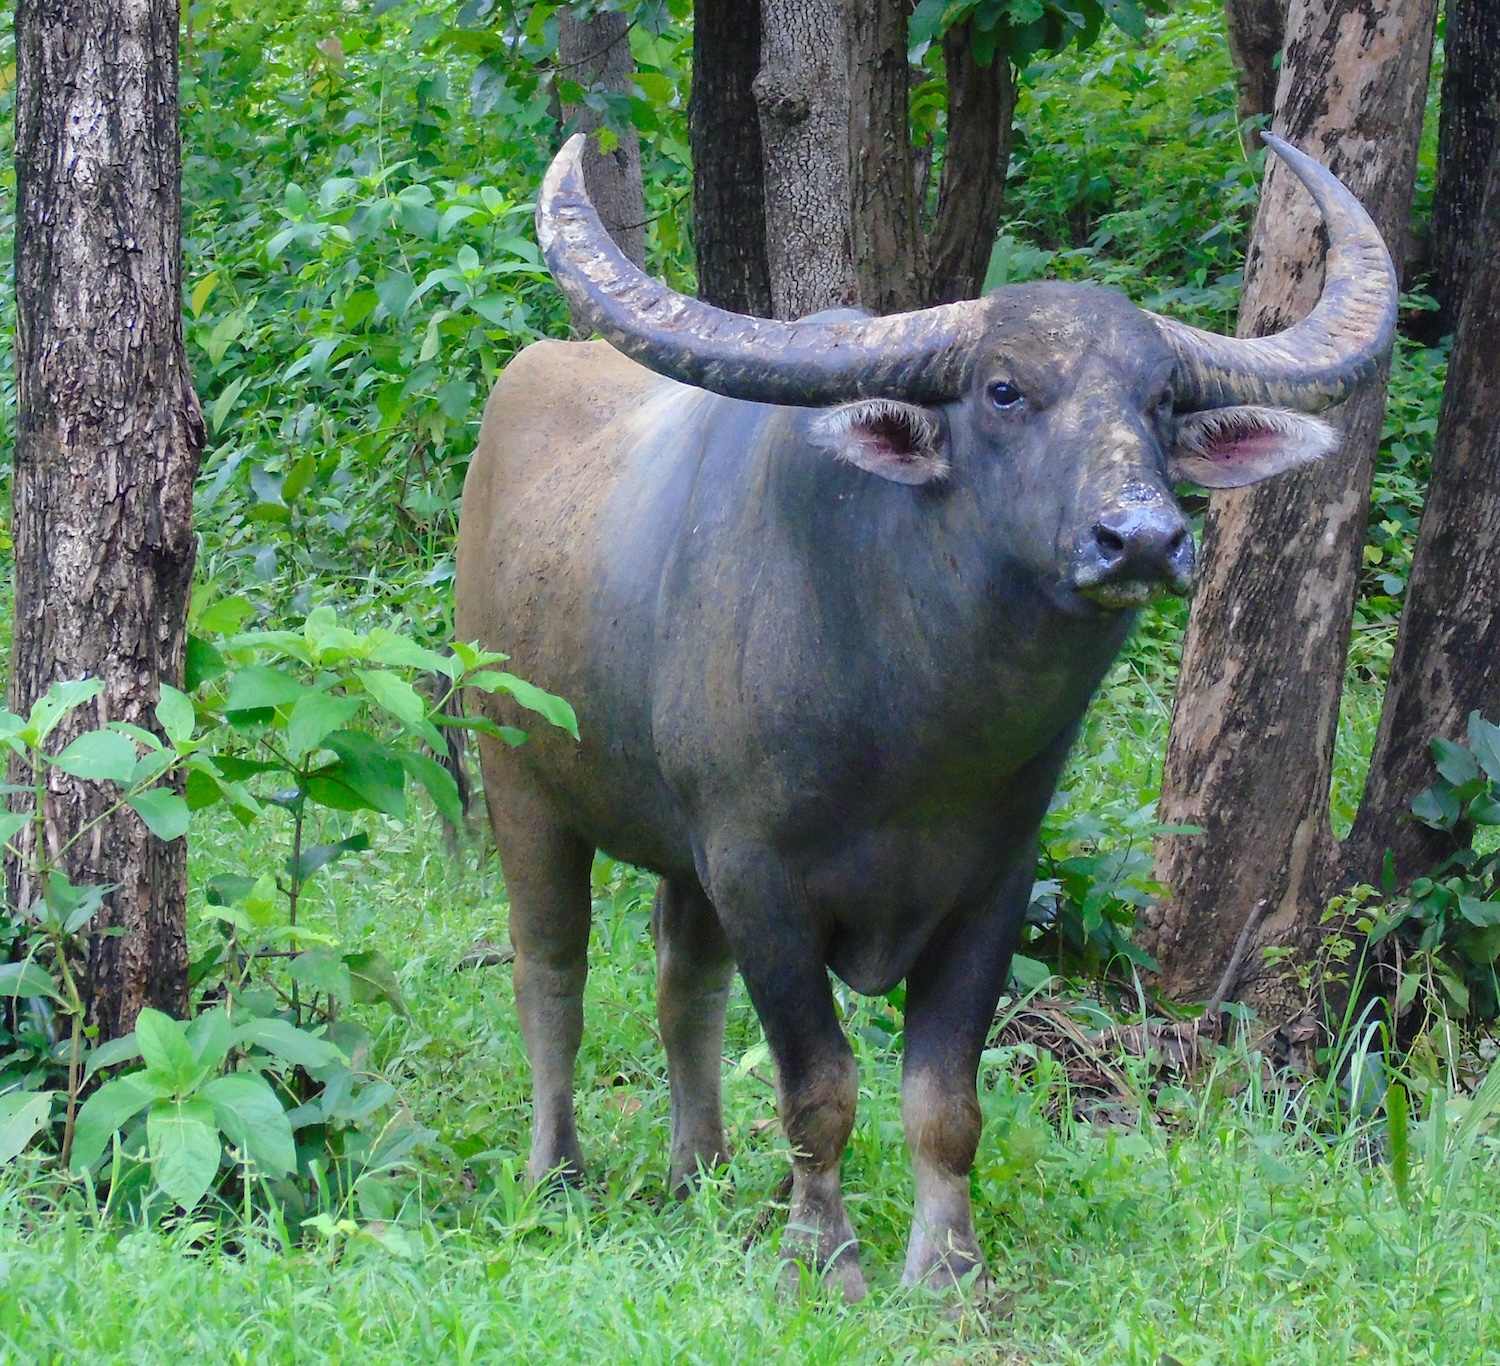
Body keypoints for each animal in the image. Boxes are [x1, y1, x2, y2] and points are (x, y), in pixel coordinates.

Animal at [455, 133, 1395, 1299]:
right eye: (1004, 388)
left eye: (1164, 401)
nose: (1139, 539)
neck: (913, 739)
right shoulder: (761, 874)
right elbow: (818, 1086)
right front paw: (824, 1258)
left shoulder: (989, 886)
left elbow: (945, 1103)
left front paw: (947, 1272)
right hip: (520, 783)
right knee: (553, 971)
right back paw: (556, 1173)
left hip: (684, 849)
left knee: (684, 982)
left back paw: (700, 1172)